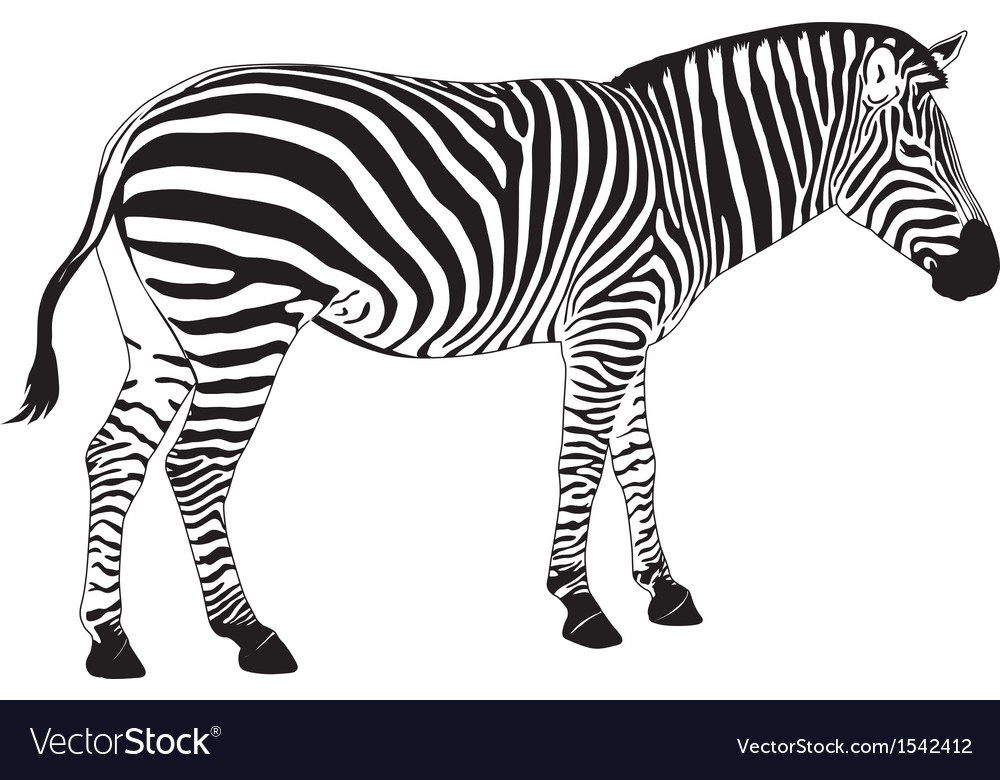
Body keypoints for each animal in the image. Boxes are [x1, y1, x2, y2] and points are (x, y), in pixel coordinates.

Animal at [8, 22, 996, 677]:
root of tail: (138, 122)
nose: (986, 270)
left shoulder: (631, 326)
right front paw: (582, 605)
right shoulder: (608, 321)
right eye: (917, 150)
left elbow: (639, 457)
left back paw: (111, 643)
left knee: (114, 455)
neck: (686, 171)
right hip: (242, 315)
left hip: (165, 331)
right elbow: (582, 458)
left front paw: (664, 590)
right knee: (198, 465)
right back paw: (251, 634)